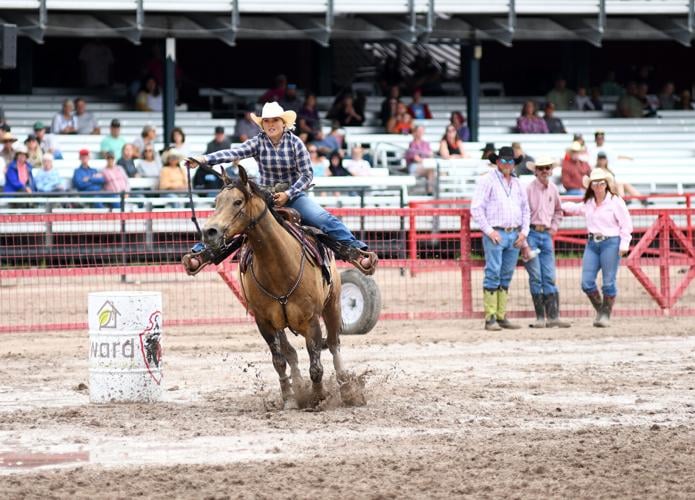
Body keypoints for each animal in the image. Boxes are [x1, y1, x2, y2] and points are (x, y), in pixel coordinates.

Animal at [201, 166, 359, 409]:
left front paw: (318, 397)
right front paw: (290, 398)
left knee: (334, 344)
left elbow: (316, 365)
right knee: (291, 353)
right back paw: (299, 386)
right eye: (216, 201)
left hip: (332, 305)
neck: (280, 266)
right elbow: (279, 362)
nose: (210, 232)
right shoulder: (264, 323)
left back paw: (347, 390)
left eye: (238, 202)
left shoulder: (311, 320)